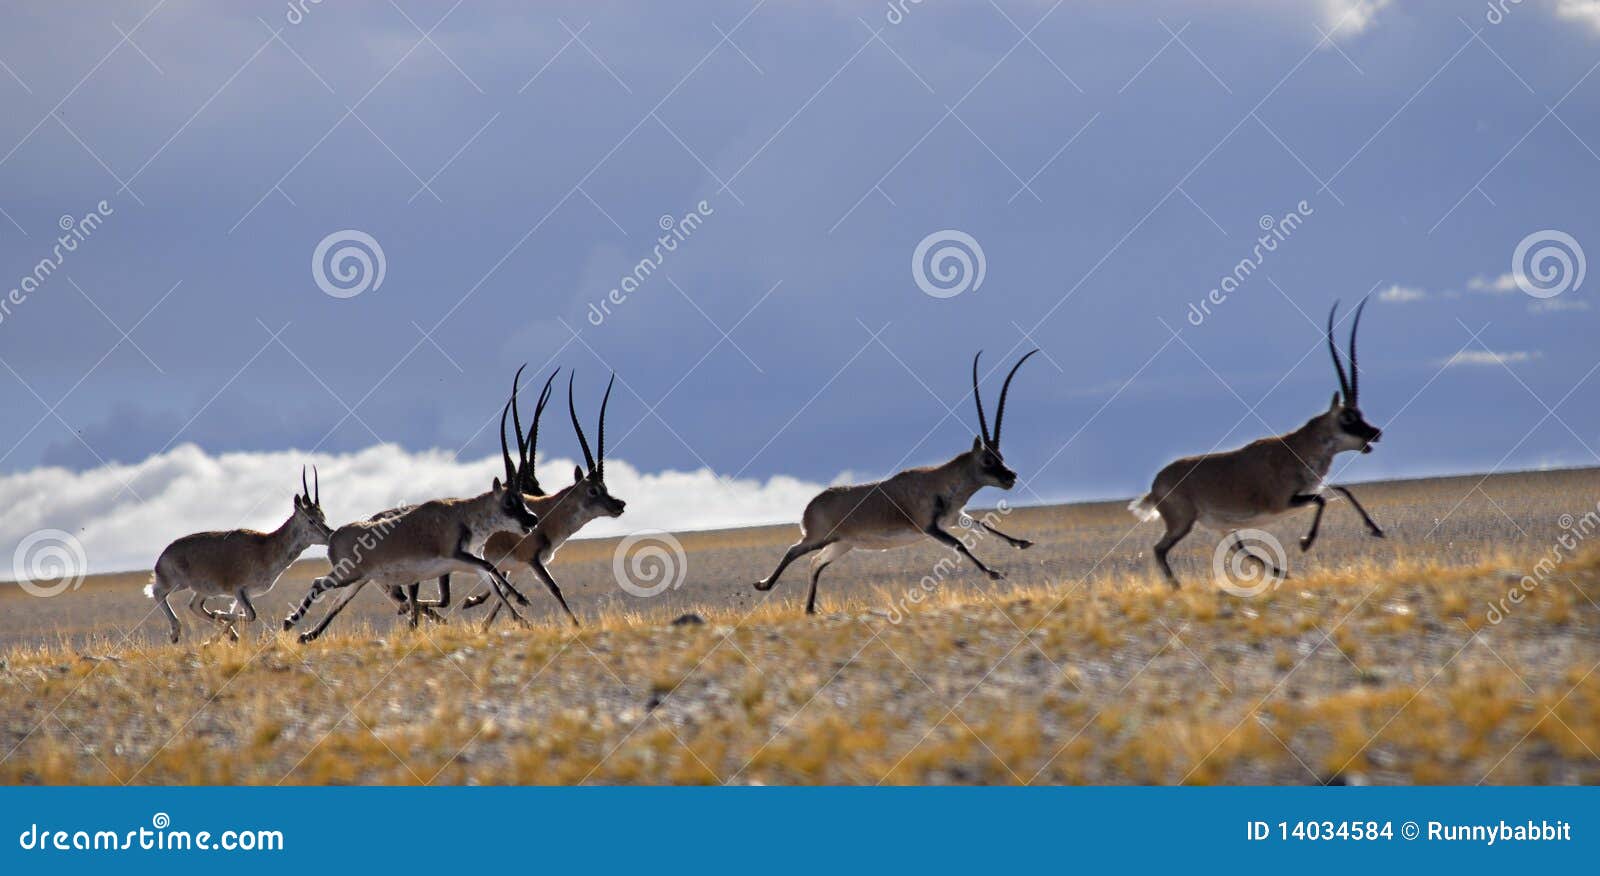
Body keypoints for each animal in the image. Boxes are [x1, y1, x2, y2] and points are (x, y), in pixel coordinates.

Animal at [145, 467, 332, 643]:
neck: (265, 548)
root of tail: (163, 556)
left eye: (323, 517)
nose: (330, 534)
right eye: (311, 520)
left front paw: (212, 638)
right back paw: (175, 633)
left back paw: (229, 635)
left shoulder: (246, 594)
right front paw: (219, 616)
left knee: (195, 606)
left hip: (204, 590)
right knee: (157, 592)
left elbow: (244, 614)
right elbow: (251, 615)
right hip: (177, 583)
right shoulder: (239, 590)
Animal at [282, 392, 541, 643]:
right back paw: (291, 622)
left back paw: (307, 635)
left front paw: (523, 620)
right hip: (348, 575)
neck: (464, 514)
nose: (533, 519)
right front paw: (522, 600)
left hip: (358, 580)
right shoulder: (459, 556)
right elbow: (492, 569)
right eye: (509, 501)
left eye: (523, 497)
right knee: (318, 583)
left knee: (337, 603)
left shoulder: (469, 561)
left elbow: (494, 583)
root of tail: (334, 534)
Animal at [458, 370, 627, 629]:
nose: (619, 505)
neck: (548, 513)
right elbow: (554, 589)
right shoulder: (533, 561)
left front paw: (487, 626)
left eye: (605, 487)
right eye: (593, 490)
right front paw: (576, 626)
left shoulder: (520, 568)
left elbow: (502, 597)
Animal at [752, 350, 1038, 615]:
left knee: (815, 563)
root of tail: (810, 507)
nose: (1011, 477)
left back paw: (810, 609)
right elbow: (960, 544)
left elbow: (982, 524)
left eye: (1000, 456)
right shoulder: (930, 528)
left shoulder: (954, 518)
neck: (941, 478)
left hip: (841, 544)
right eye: (987, 460)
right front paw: (993, 573)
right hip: (819, 537)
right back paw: (763, 585)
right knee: (793, 550)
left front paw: (1021, 543)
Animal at [1129, 299, 1386, 587]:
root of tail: (1156, 485)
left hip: (1222, 525)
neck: (1296, 447)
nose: (1376, 434)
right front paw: (1305, 543)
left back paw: (1283, 573)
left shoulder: (1308, 490)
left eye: (1359, 414)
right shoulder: (1285, 502)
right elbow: (1322, 500)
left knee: (1238, 549)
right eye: (1347, 417)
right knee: (1160, 549)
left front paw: (1376, 529)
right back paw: (1178, 587)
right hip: (1183, 523)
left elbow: (1342, 490)